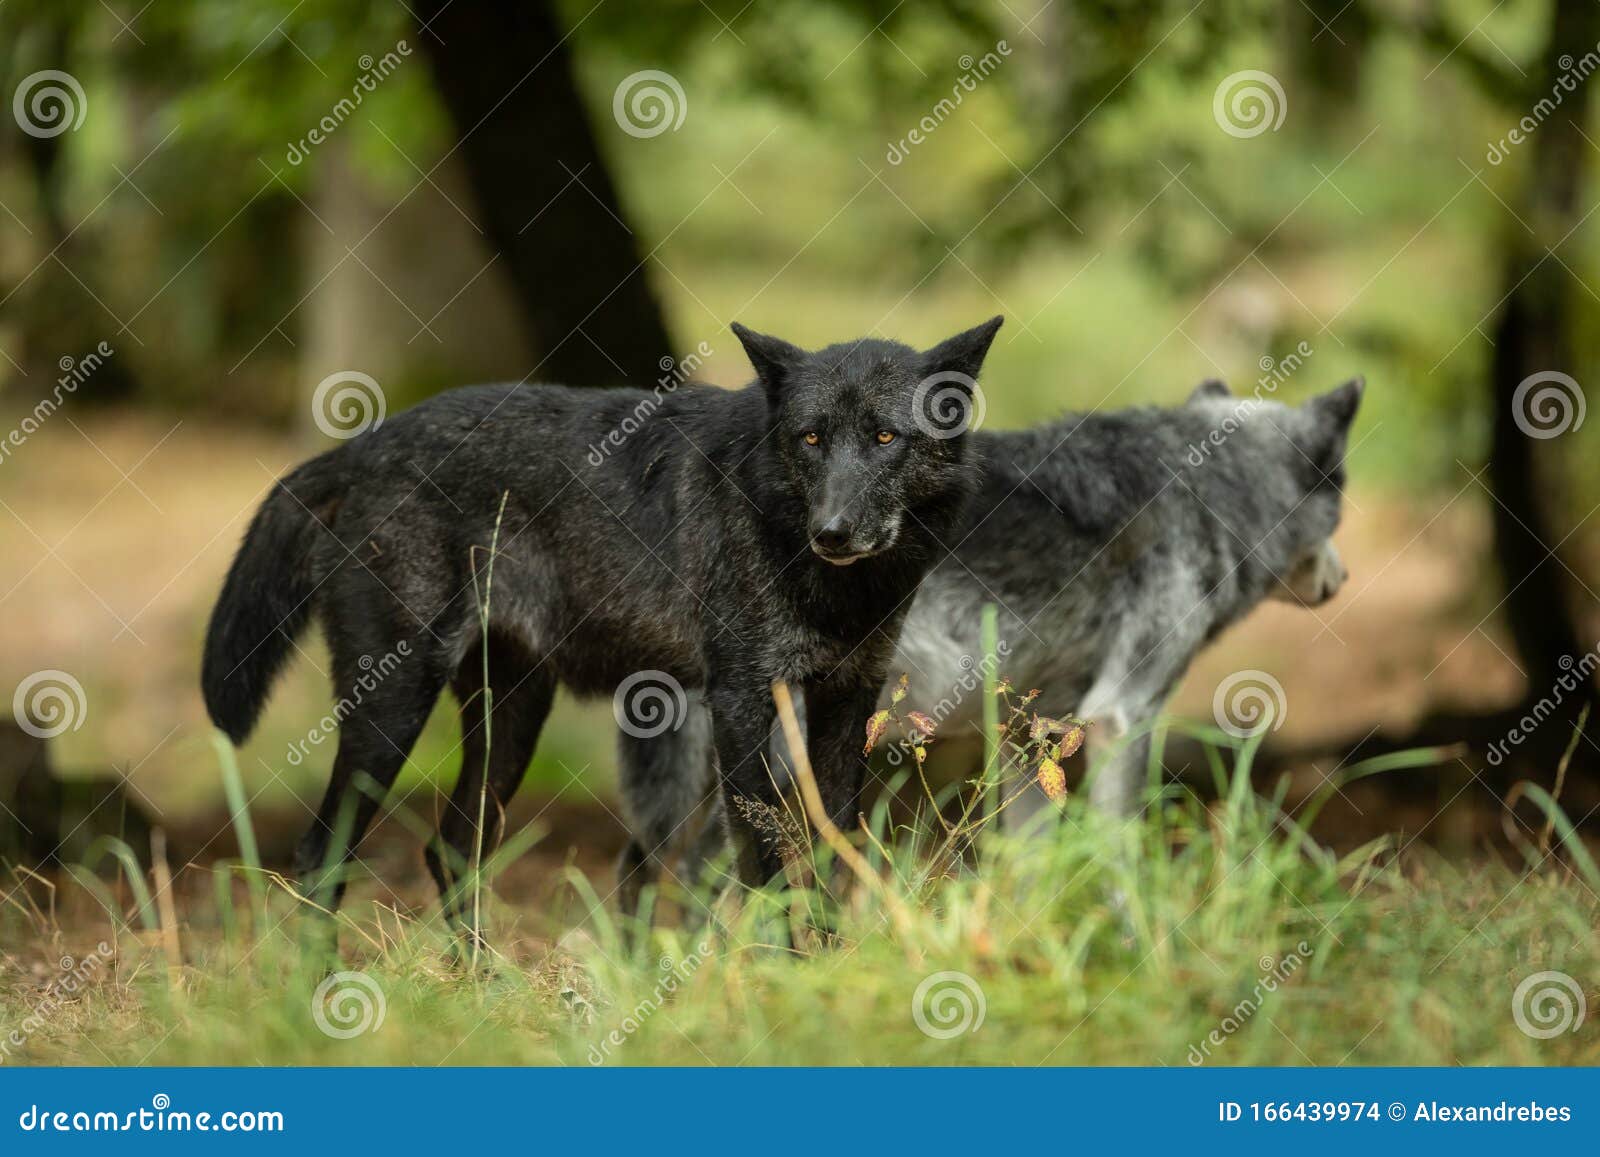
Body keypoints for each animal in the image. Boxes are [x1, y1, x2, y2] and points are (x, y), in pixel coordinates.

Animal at [202, 318, 1003, 937]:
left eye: (885, 436)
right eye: (810, 439)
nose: (830, 532)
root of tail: (355, 449)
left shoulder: (845, 699)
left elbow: (832, 854)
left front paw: (828, 968)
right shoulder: (740, 702)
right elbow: (765, 864)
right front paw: (786, 976)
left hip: (512, 717)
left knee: (451, 849)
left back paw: (486, 989)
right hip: (391, 711)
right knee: (320, 855)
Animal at [614, 375, 1363, 903]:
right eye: (1342, 503)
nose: (1346, 576)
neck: (1208, 488)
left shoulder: (1027, 738)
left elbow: (1030, 875)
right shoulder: (1123, 717)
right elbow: (1122, 868)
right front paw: (1142, 954)